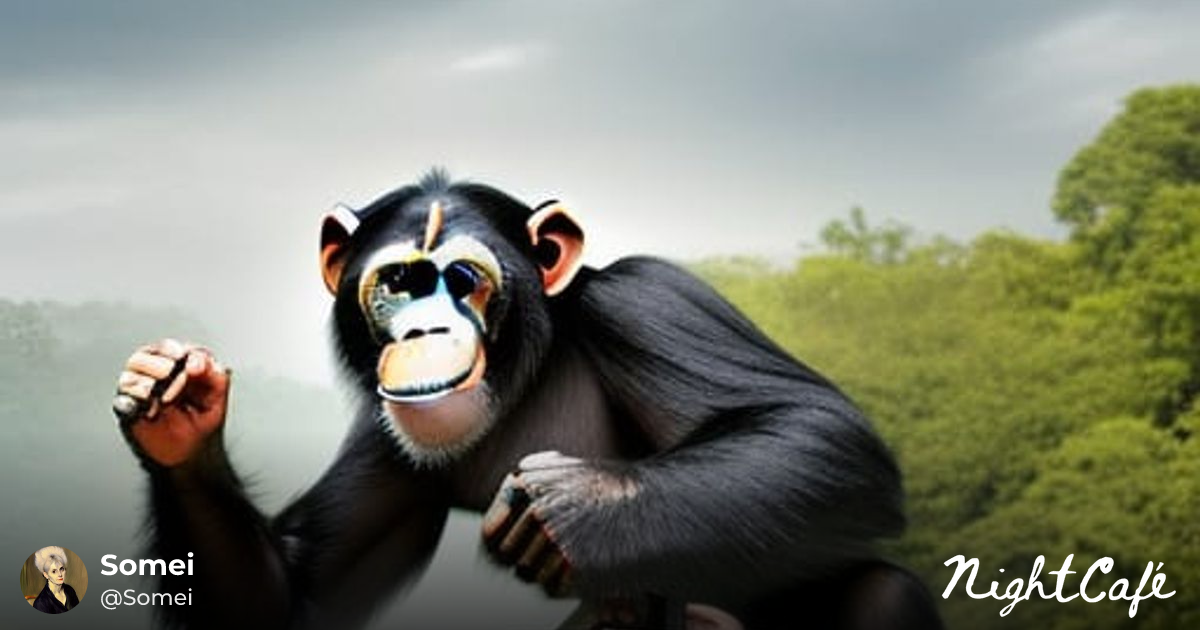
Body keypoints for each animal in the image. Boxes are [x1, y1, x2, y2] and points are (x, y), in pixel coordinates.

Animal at [114, 171, 944, 629]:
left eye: (462, 279)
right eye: (399, 281)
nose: (425, 327)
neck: (528, 372)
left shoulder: (648, 301)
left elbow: (814, 429)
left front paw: (571, 507)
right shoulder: (386, 437)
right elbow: (293, 602)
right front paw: (177, 411)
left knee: (880, 592)